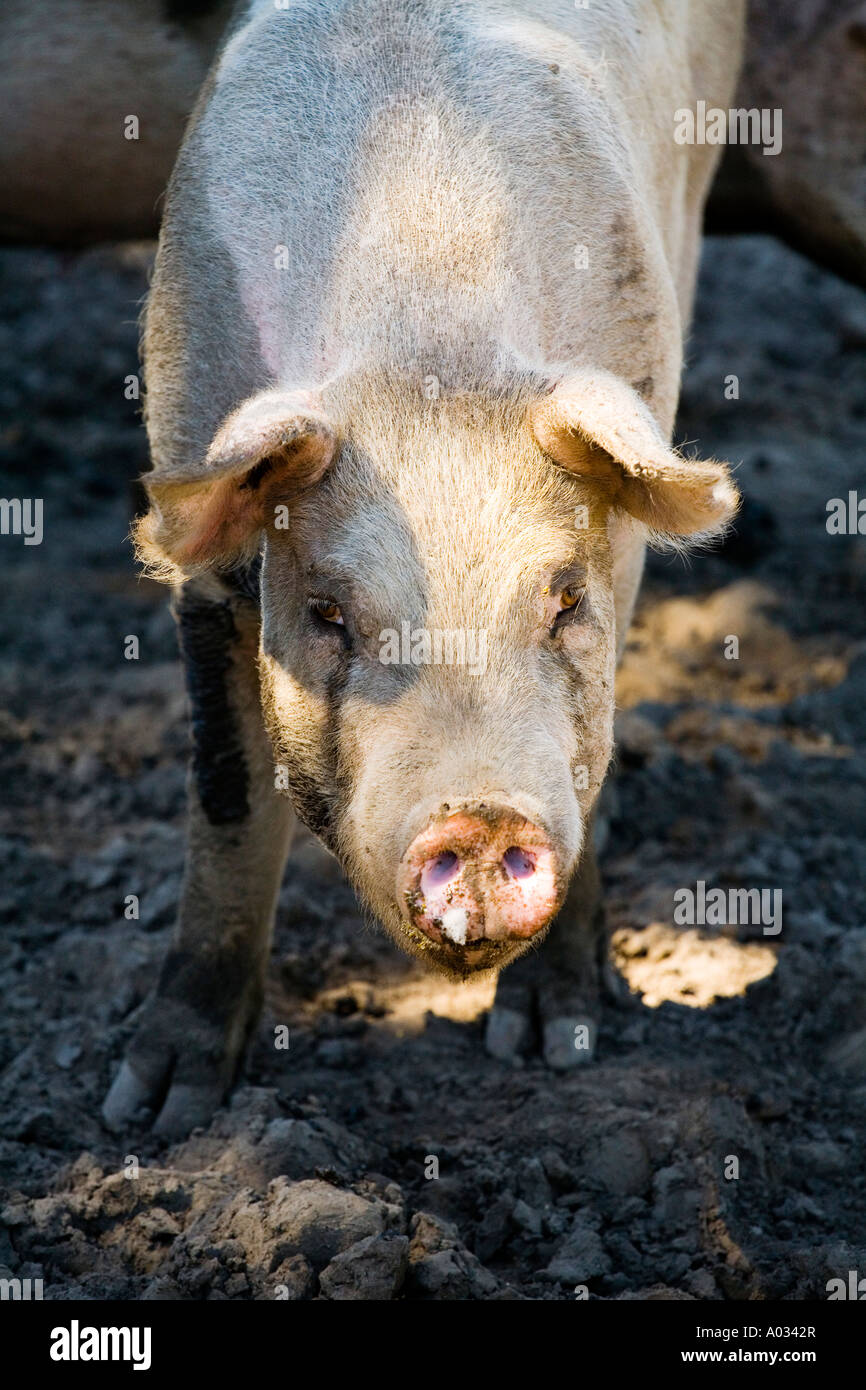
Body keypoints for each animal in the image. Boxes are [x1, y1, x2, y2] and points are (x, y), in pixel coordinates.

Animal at [95, 0, 748, 1137]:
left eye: (561, 603)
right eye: (327, 613)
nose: (480, 817)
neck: (424, 341)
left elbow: (593, 746)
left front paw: (552, 1046)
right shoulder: (200, 531)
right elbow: (226, 802)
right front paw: (153, 1113)